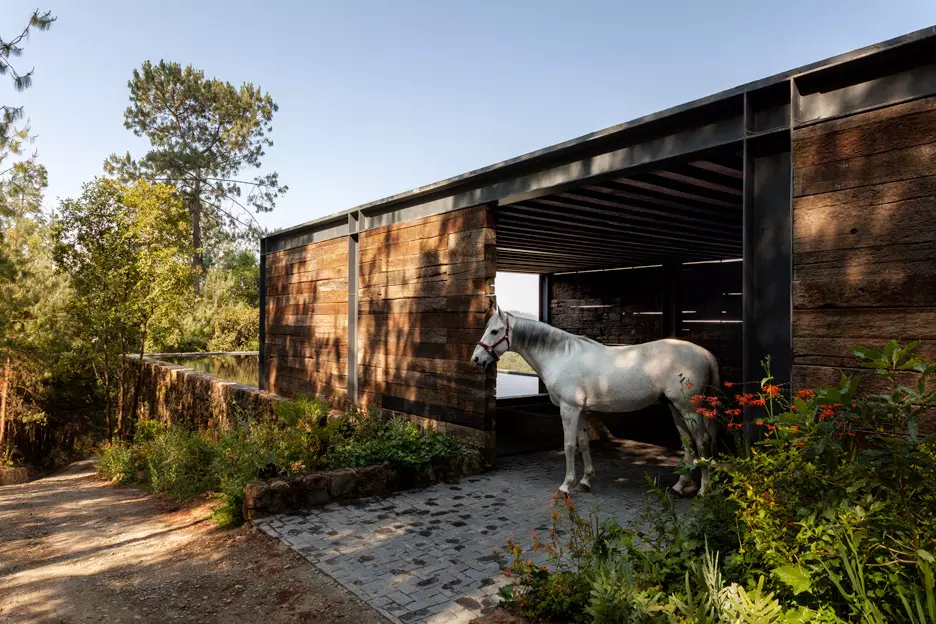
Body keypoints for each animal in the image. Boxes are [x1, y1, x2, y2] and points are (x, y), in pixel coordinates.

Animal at [472, 306, 720, 498]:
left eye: (494, 331)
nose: (476, 359)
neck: (560, 356)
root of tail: (705, 353)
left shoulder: (569, 409)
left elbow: (569, 445)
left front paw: (565, 486)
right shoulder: (581, 411)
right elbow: (583, 443)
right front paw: (584, 481)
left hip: (689, 409)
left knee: (703, 441)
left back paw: (703, 491)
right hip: (675, 407)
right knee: (688, 443)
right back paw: (679, 487)